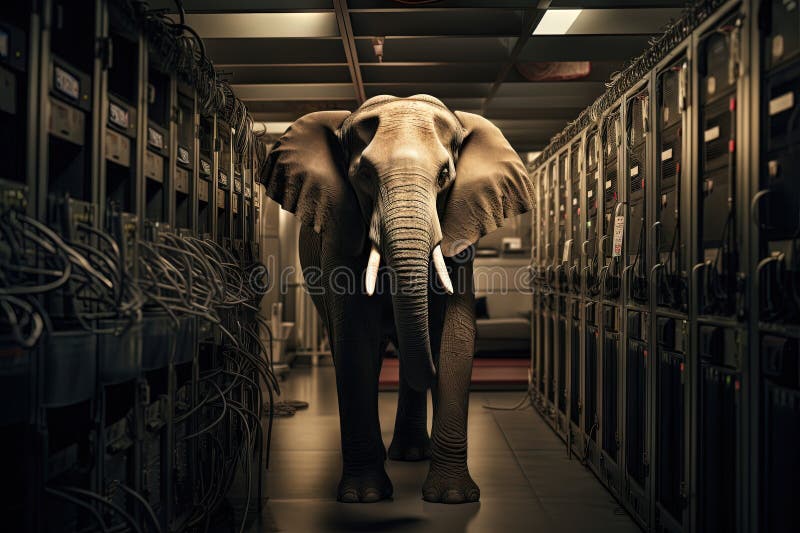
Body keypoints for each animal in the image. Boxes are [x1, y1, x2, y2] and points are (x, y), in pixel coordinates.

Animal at [260, 94, 532, 504]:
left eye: (444, 176)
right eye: (364, 176)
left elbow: (456, 334)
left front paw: (453, 498)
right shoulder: (341, 230)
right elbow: (355, 337)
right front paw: (364, 497)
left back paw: (411, 454)